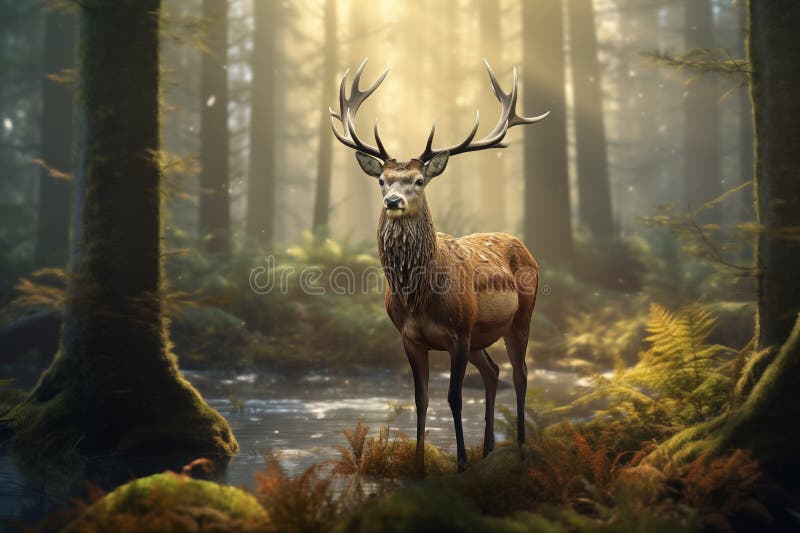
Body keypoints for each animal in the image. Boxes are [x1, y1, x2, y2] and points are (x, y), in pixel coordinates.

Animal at [330, 59, 547, 472]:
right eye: (382, 180)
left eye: (418, 180)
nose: (393, 201)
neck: (419, 298)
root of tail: (525, 247)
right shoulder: (410, 337)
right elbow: (421, 400)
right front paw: (418, 463)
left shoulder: (458, 332)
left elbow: (454, 398)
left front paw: (460, 462)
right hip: (481, 336)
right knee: (493, 372)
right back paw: (489, 450)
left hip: (520, 317)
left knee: (521, 374)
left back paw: (521, 447)